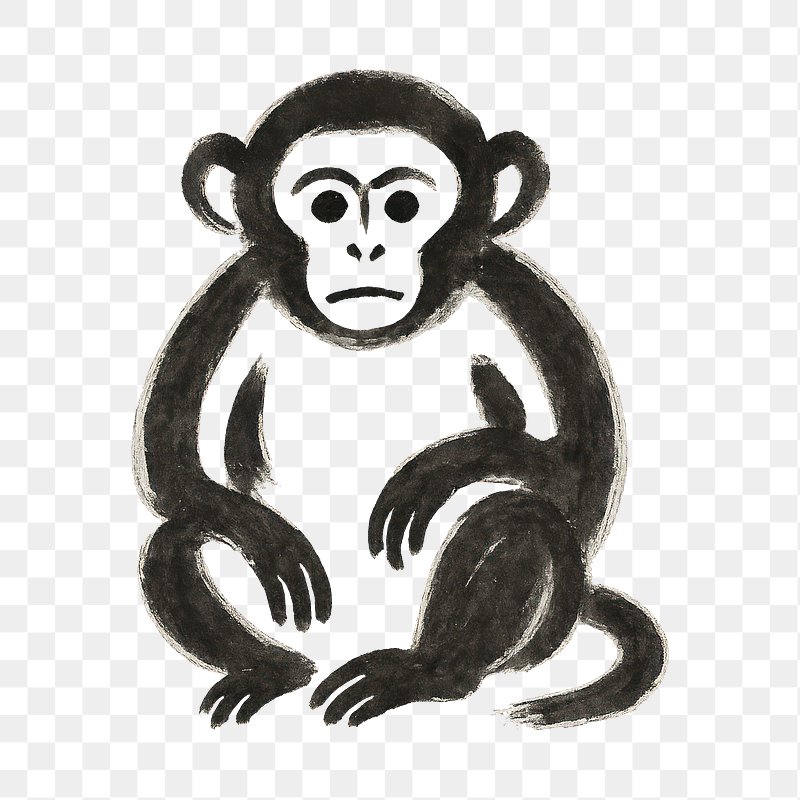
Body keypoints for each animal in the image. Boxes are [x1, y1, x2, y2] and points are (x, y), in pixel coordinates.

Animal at [133, 70, 666, 729]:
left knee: (519, 517)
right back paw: (269, 669)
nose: (366, 251)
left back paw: (426, 672)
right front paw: (268, 541)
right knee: (181, 537)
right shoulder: (235, 292)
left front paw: (439, 469)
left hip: (537, 630)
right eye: (328, 206)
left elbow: (583, 471)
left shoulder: (512, 287)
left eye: (403, 207)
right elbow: (171, 465)